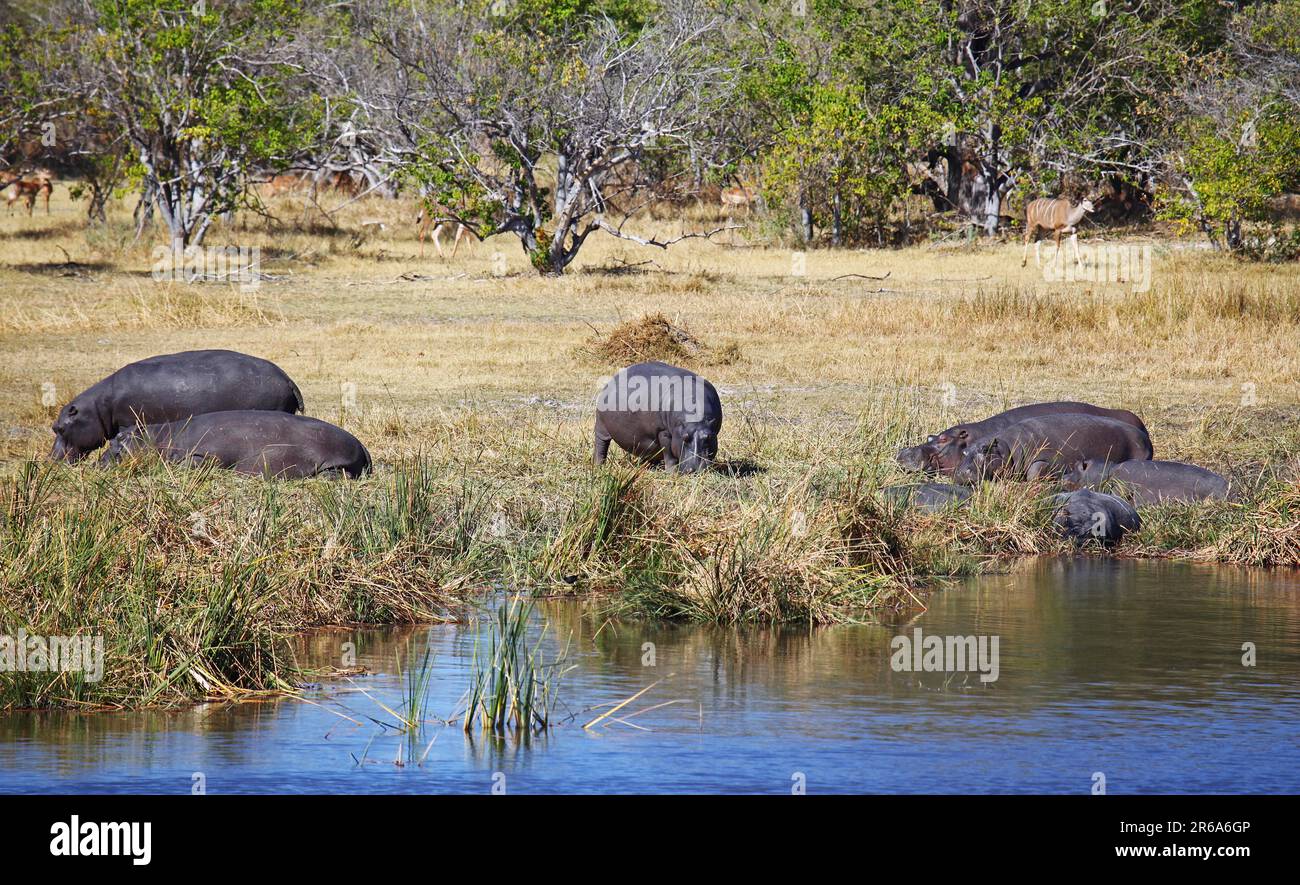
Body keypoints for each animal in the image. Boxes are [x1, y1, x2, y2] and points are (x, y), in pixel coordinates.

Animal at [101, 411, 370, 479]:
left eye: (120, 439)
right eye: (114, 437)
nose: (100, 461)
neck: (159, 436)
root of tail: (362, 446)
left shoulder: (204, 454)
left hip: (336, 459)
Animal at [594, 361, 722, 474]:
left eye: (709, 437)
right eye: (685, 438)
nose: (695, 470)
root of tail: (612, 380)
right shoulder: (663, 432)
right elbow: (669, 455)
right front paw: (671, 473)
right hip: (601, 428)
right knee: (601, 446)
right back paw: (598, 467)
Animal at [953, 414, 1154, 485]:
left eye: (984, 449)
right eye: (964, 452)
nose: (961, 472)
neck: (1006, 447)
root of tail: (1146, 437)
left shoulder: (1043, 459)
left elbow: (1035, 471)